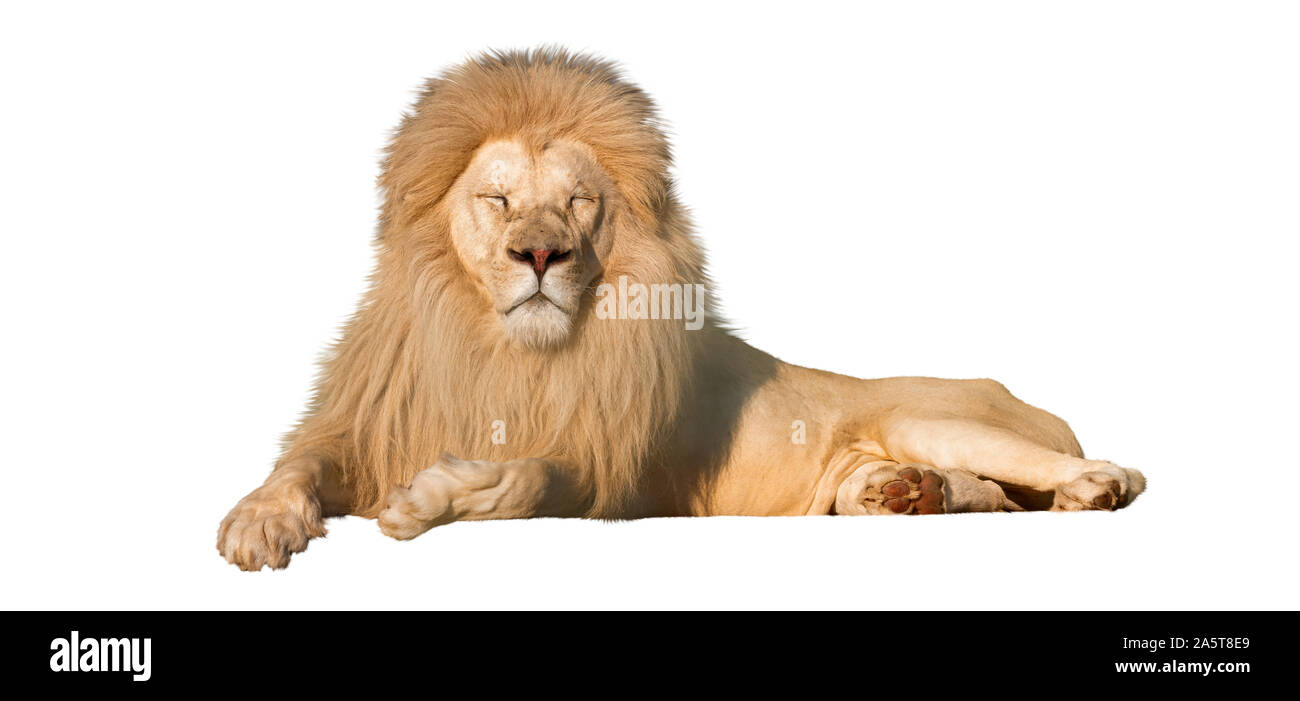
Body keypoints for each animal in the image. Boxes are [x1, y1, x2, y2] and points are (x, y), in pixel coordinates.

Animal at [217, 48, 1145, 571]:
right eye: (498, 198)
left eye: (580, 202)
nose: (540, 256)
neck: (502, 351)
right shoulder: (365, 425)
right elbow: (297, 464)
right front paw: (256, 522)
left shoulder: (611, 471)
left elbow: (524, 475)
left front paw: (429, 497)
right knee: (978, 495)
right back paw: (908, 493)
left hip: (937, 417)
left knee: (1097, 472)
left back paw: (1092, 488)